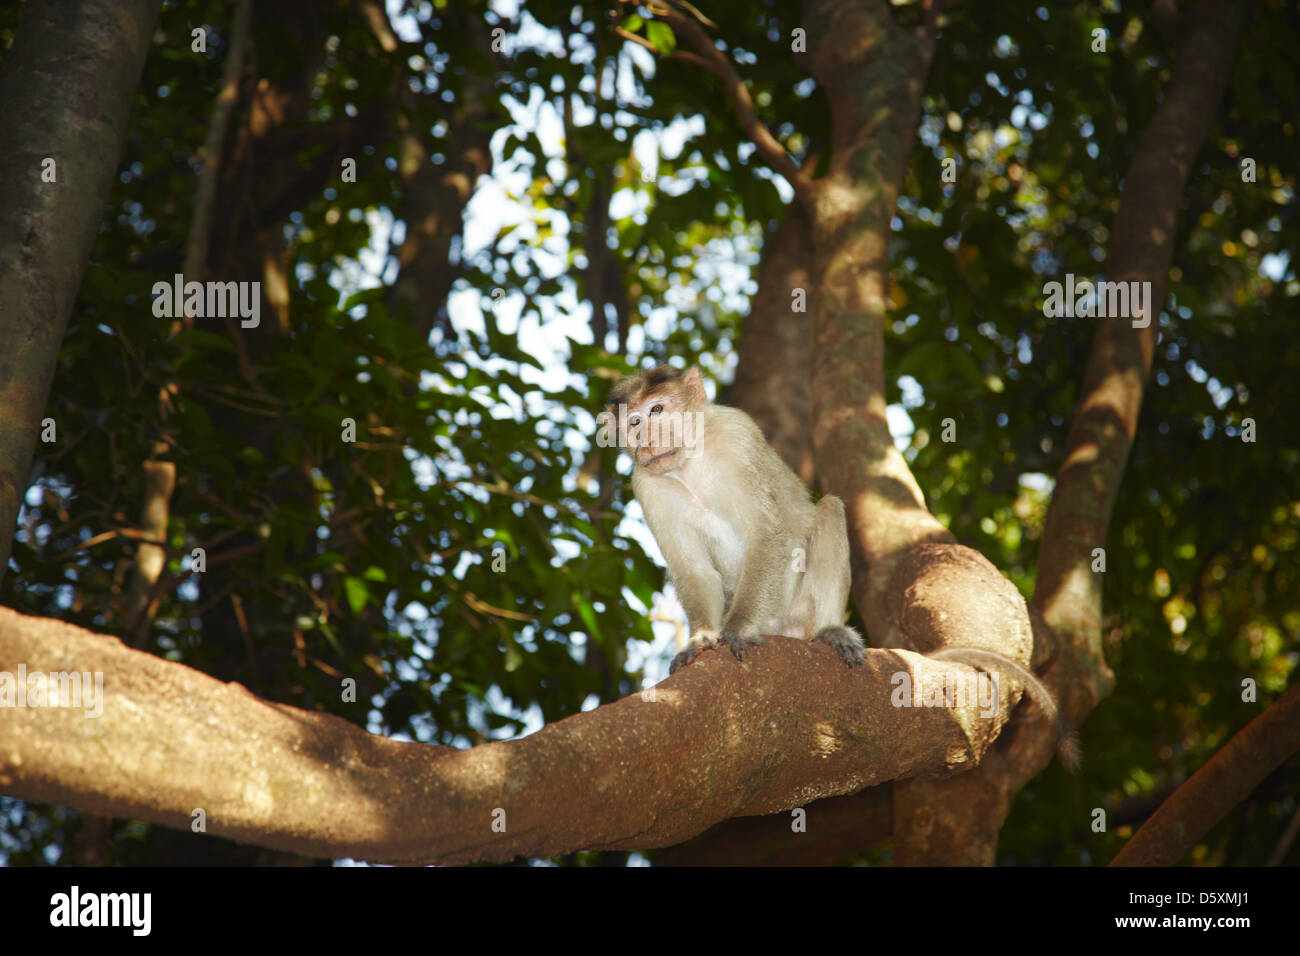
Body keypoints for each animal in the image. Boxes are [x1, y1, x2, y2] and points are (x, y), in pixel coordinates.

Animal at [601, 364, 1081, 772]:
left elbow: (769, 534)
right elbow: (692, 569)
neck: (689, 464)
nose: (647, 439)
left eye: (658, 410)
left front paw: (735, 628)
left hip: (796, 603)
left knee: (829, 510)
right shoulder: (646, 485)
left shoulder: (737, 437)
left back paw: (829, 630)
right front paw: (701, 638)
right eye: (634, 422)